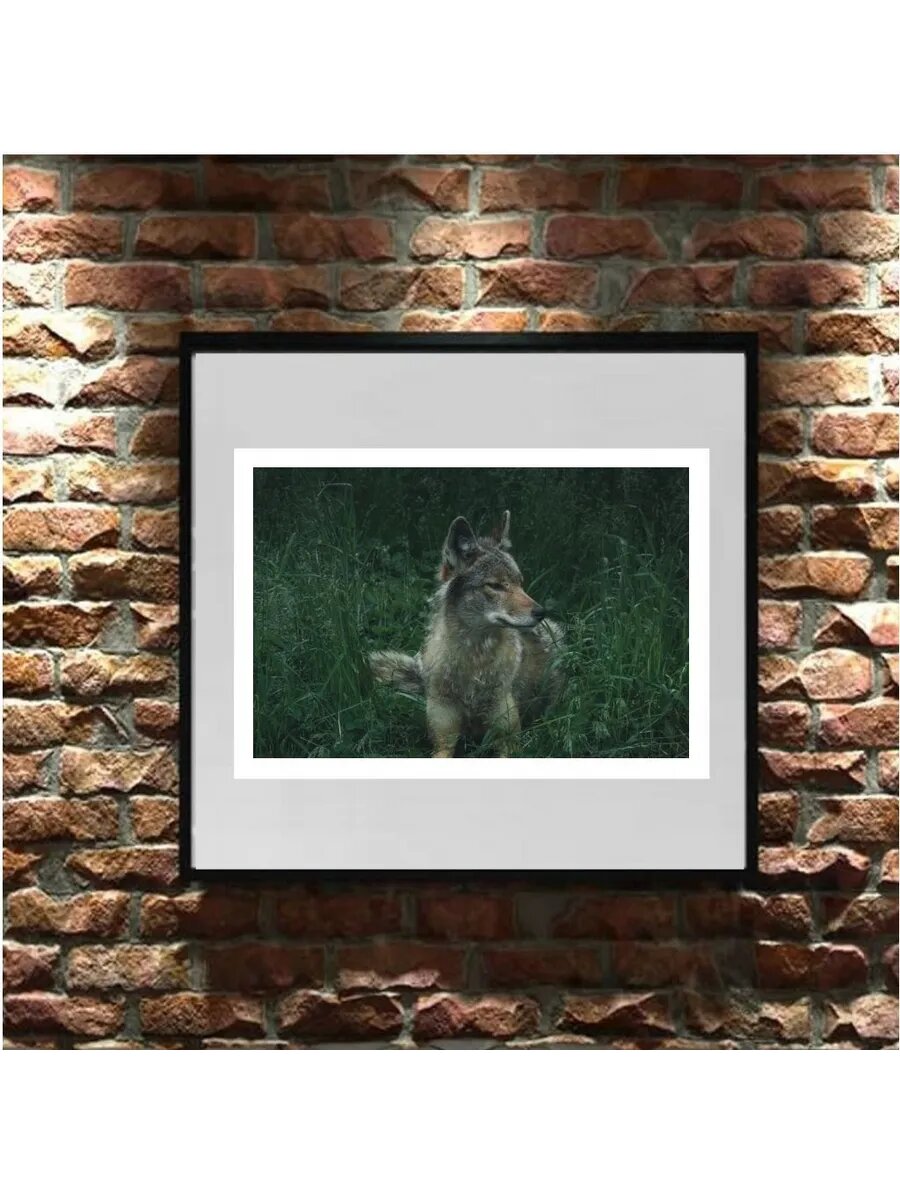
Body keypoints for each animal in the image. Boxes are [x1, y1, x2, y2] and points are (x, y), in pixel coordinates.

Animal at [370, 510, 563, 757]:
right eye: (495, 586)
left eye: (520, 583)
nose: (541, 612)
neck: (474, 663)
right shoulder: (442, 742)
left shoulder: (508, 742)